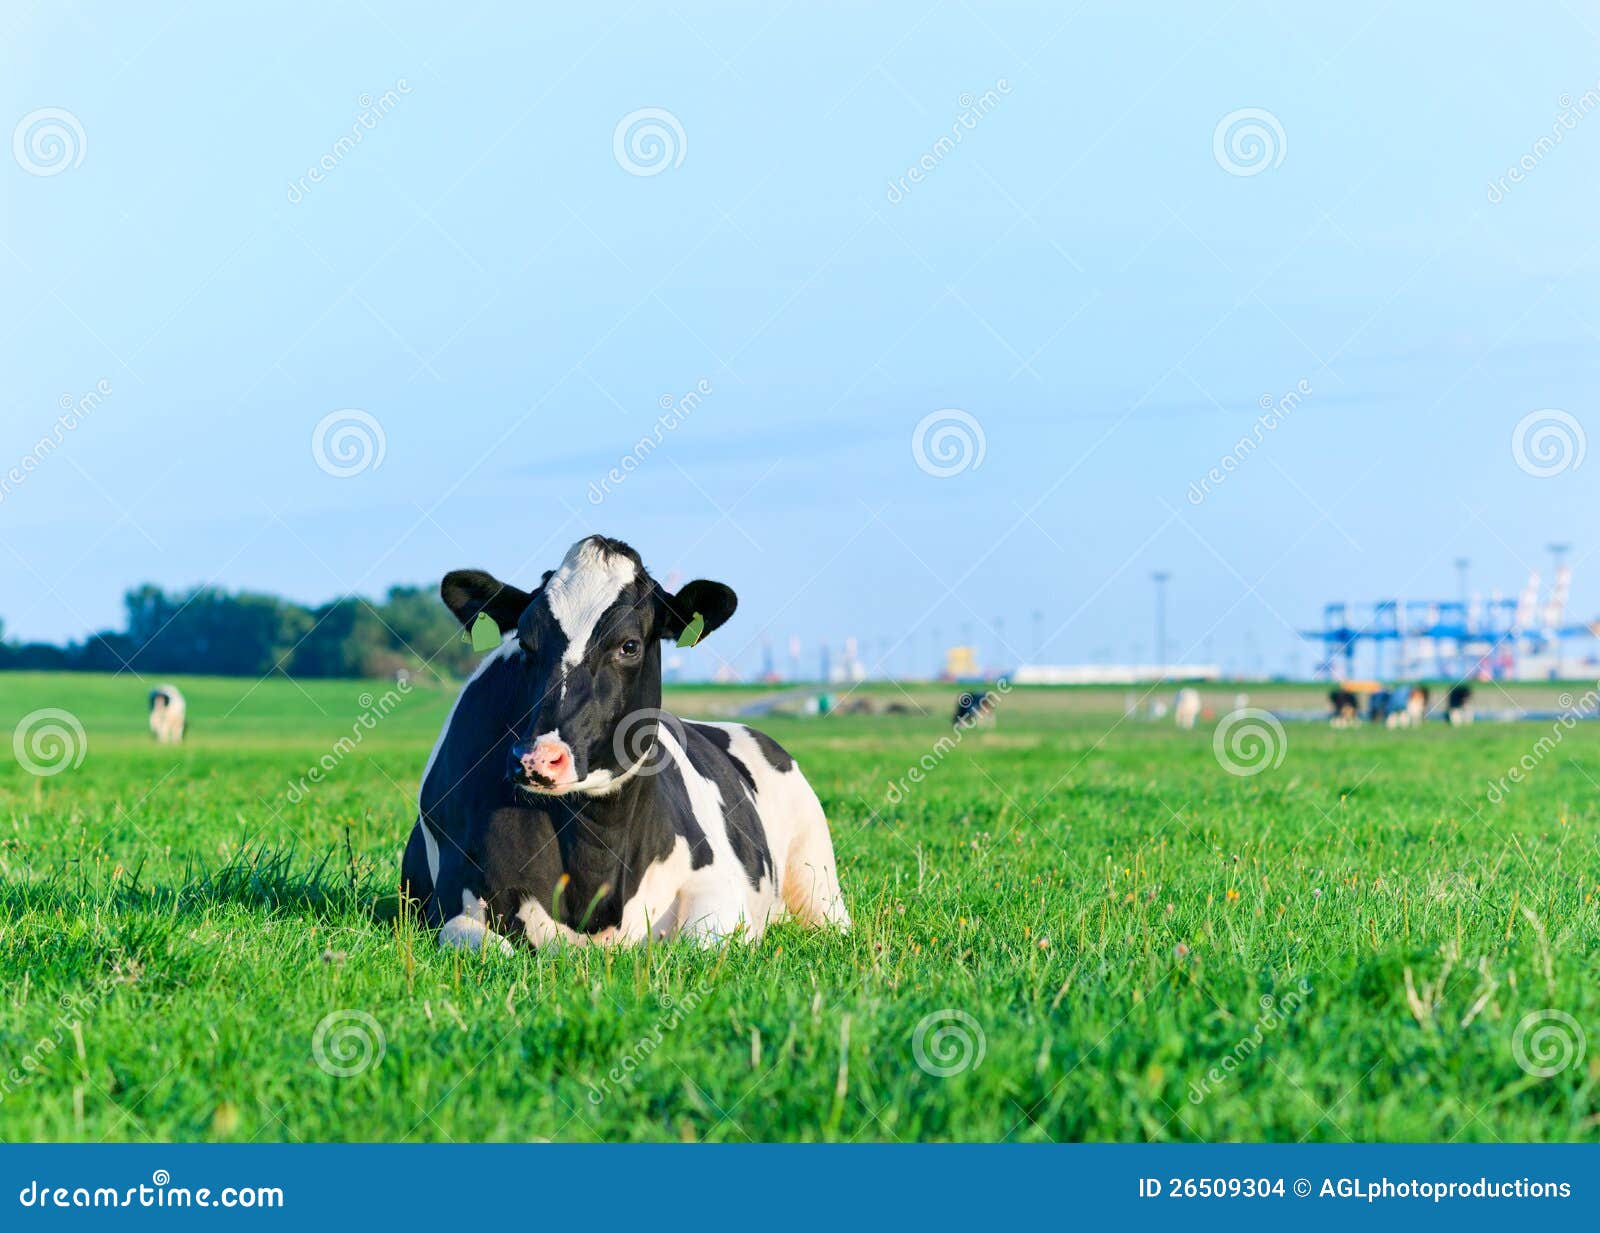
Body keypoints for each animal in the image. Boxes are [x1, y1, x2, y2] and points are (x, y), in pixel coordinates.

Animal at [400, 535, 850, 954]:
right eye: (526, 644)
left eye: (628, 645)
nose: (537, 759)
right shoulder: (458, 904)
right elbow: (488, 948)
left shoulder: (719, 889)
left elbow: (702, 944)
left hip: (818, 876)